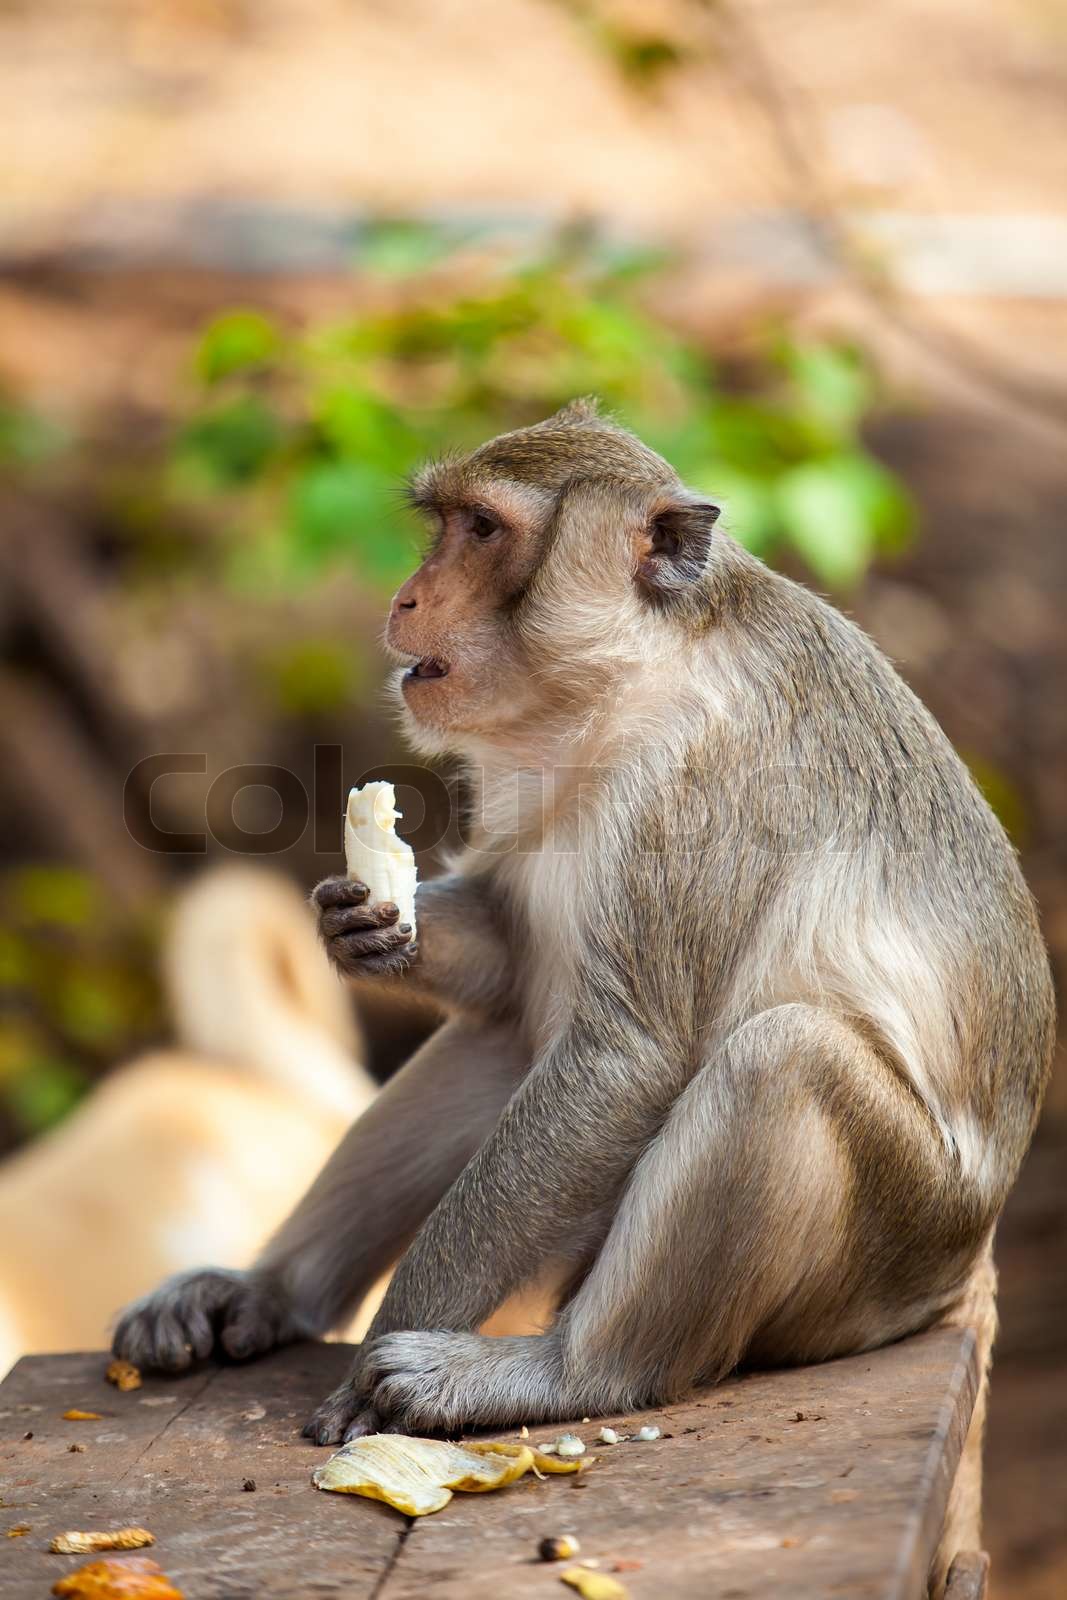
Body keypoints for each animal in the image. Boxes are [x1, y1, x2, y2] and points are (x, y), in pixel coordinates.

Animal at [114, 401, 1053, 1501]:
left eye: (483, 531)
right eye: (444, 524)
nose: (406, 596)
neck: (629, 682)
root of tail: (955, 1276)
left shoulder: (695, 787)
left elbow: (625, 1061)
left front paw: (370, 1370)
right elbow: (514, 965)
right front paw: (362, 922)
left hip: (880, 1258)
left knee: (777, 1060)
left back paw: (564, 1370)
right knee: (503, 1044)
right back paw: (267, 1293)